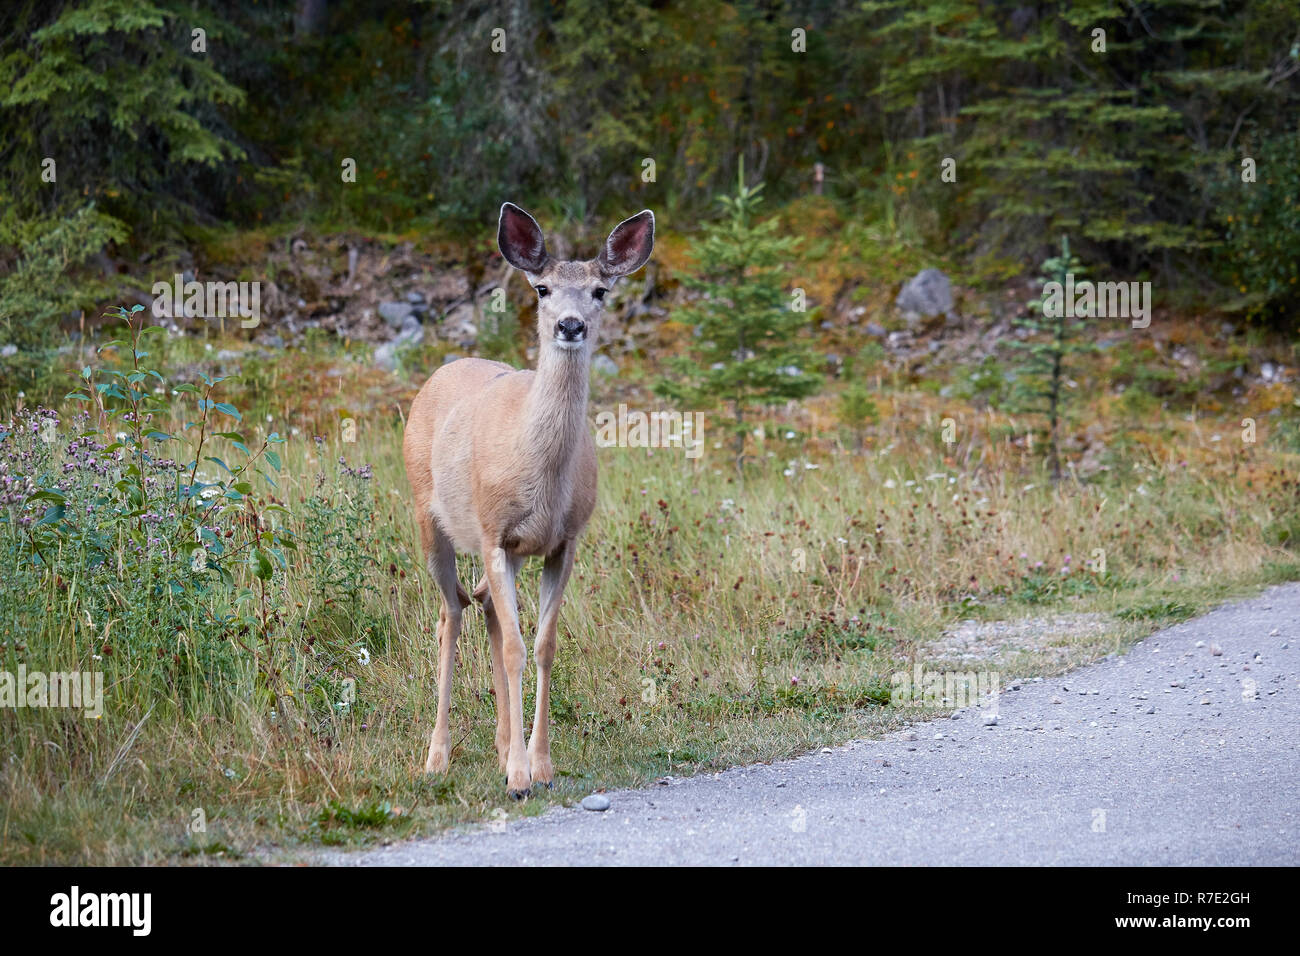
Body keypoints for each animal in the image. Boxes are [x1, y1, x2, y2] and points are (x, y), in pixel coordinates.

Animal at [403, 202, 655, 799]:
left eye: (600, 291)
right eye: (542, 288)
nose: (570, 324)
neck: (540, 473)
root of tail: (444, 368)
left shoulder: (563, 541)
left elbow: (543, 645)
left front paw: (539, 765)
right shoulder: (494, 532)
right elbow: (517, 649)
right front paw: (519, 777)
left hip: (508, 552)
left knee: (484, 605)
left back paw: (499, 747)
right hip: (430, 517)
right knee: (451, 612)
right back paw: (437, 756)